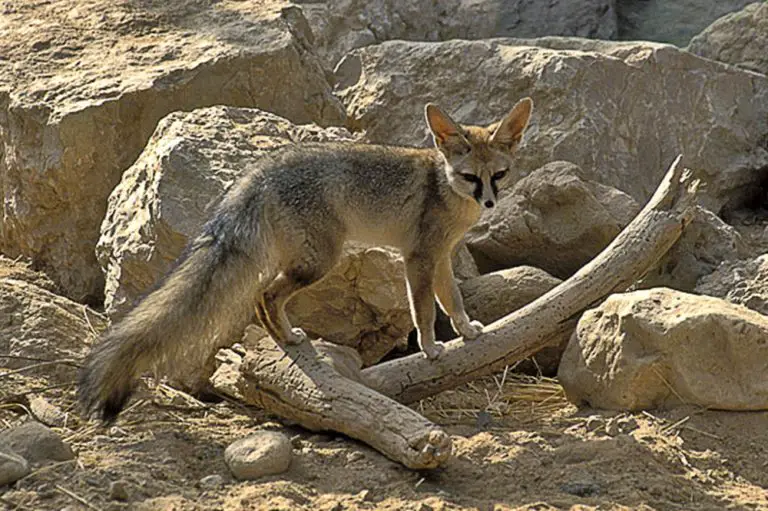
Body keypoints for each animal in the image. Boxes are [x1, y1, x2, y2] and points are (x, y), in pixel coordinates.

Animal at [78, 97, 534, 422]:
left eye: (499, 175)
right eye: (469, 178)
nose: (490, 204)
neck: (444, 188)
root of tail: (262, 170)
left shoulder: (440, 258)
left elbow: (452, 300)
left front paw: (468, 331)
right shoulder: (418, 257)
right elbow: (423, 309)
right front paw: (430, 348)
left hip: (304, 261)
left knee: (261, 297)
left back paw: (284, 341)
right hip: (320, 262)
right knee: (264, 295)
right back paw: (289, 339)